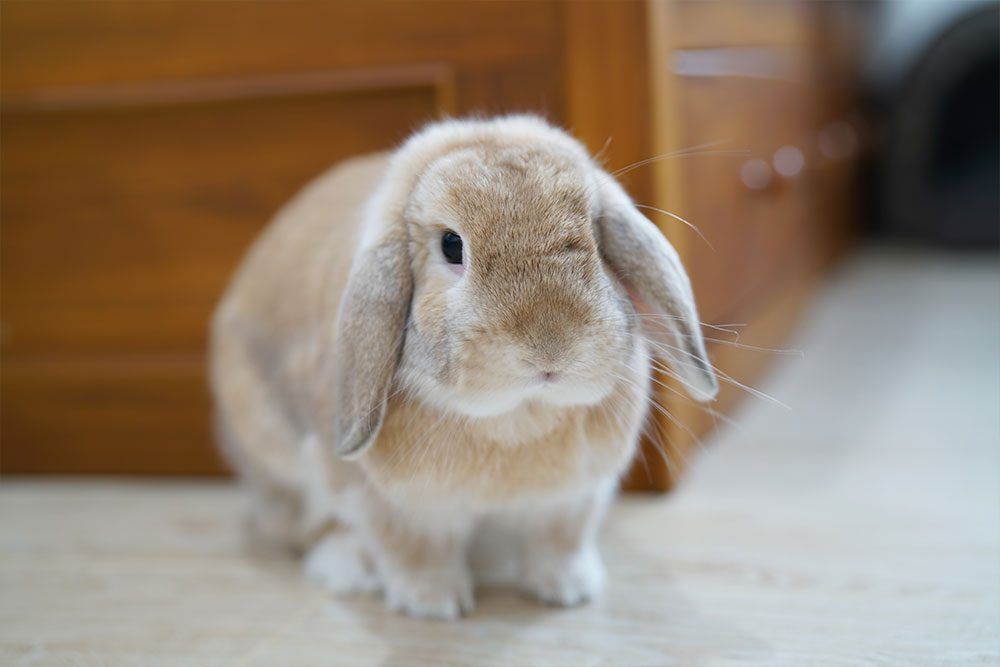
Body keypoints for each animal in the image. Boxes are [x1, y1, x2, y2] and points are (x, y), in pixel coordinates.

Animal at [209, 114, 717, 620]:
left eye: (595, 234)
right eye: (452, 246)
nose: (551, 348)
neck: (516, 419)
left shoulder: (571, 500)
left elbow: (558, 544)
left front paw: (569, 590)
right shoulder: (395, 508)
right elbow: (415, 552)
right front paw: (433, 603)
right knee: (299, 527)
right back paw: (349, 567)